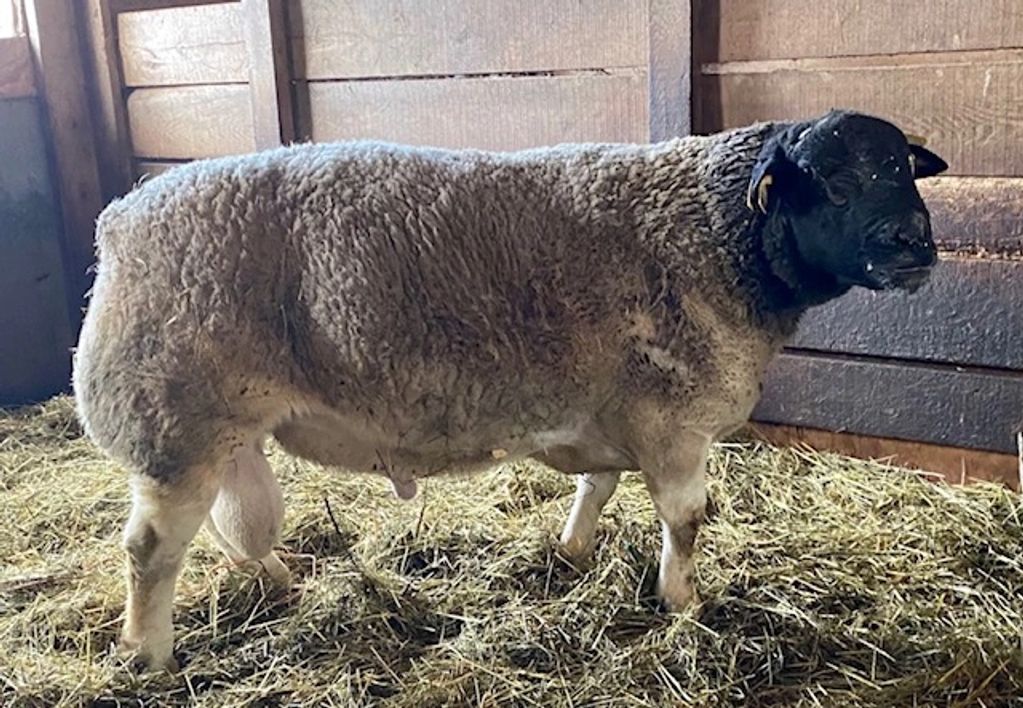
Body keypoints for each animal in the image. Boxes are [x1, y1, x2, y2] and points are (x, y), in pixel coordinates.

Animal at [72, 109, 948, 671]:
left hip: (214, 428)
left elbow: (598, 485)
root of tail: (119, 220)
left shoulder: (614, 402)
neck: (717, 234)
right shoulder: (672, 418)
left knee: (228, 529)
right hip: (171, 416)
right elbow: (686, 521)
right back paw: (149, 653)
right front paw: (683, 603)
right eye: (830, 182)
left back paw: (280, 582)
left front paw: (573, 550)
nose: (913, 244)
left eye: (905, 170)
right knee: (151, 550)